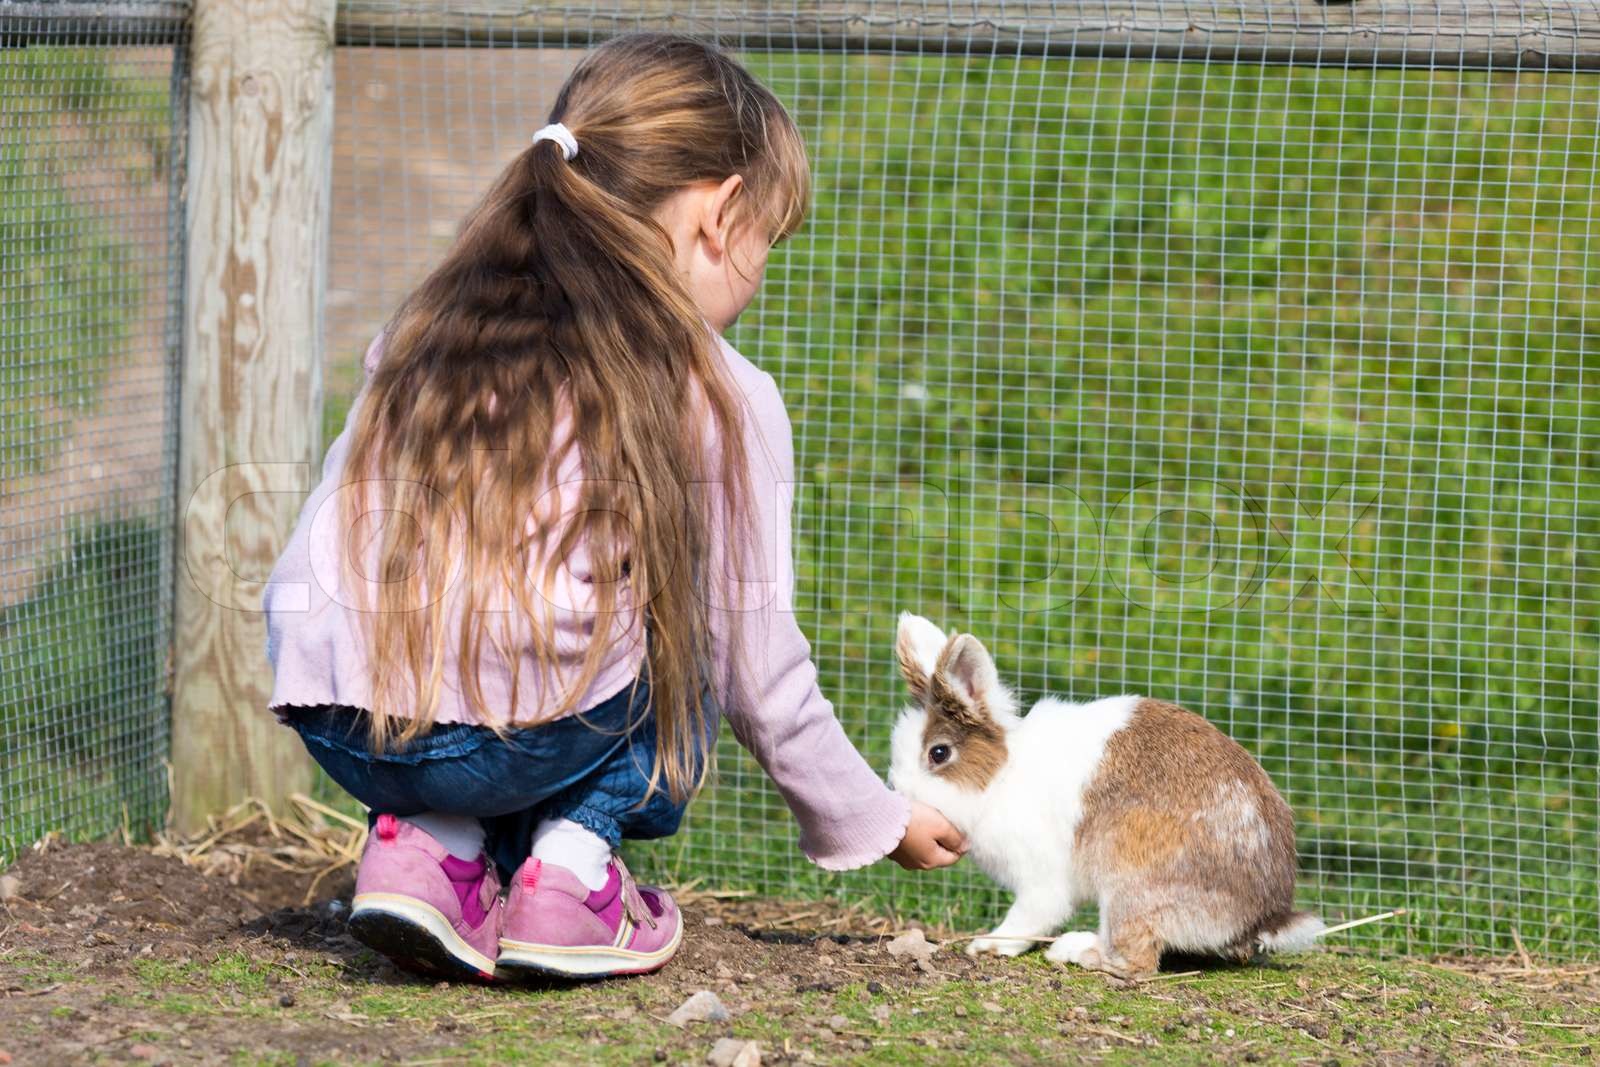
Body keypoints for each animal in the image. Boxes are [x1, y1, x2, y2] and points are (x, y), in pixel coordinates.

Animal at [887, 612, 1323, 979]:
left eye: (938, 753)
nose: (902, 797)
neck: (1000, 778)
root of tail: (1263, 916)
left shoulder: (1040, 879)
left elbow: (1032, 914)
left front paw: (987, 945)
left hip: (1129, 886)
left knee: (1136, 961)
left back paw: (1073, 950)